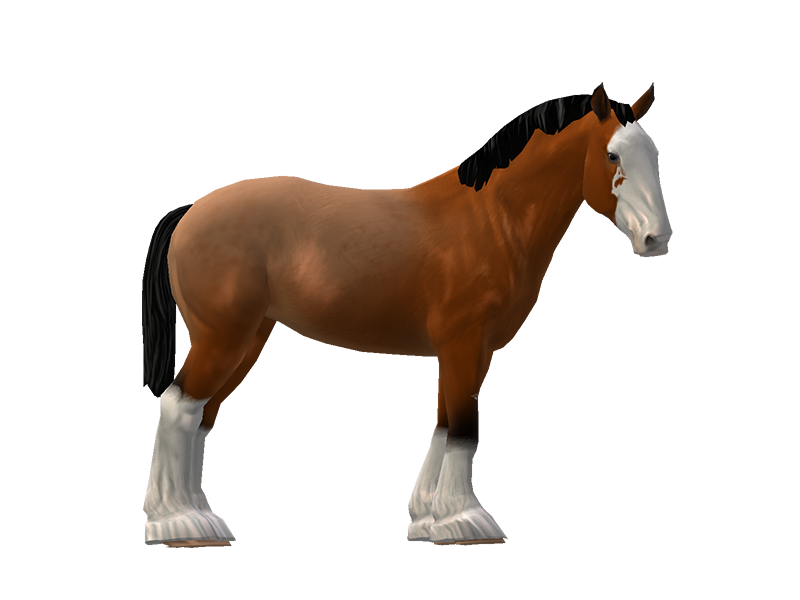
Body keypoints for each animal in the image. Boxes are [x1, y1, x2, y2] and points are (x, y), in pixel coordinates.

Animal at [142, 83, 671, 544]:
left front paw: (426, 515)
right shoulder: (463, 343)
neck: (495, 220)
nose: (654, 238)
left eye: (650, 151)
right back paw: (180, 519)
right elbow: (463, 424)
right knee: (177, 408)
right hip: (221, 336)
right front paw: (463, 517)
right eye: (612, 155)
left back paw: (183, 510)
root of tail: (190, 215)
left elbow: (443, 421)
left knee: (190, 414)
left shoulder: (460, 349)